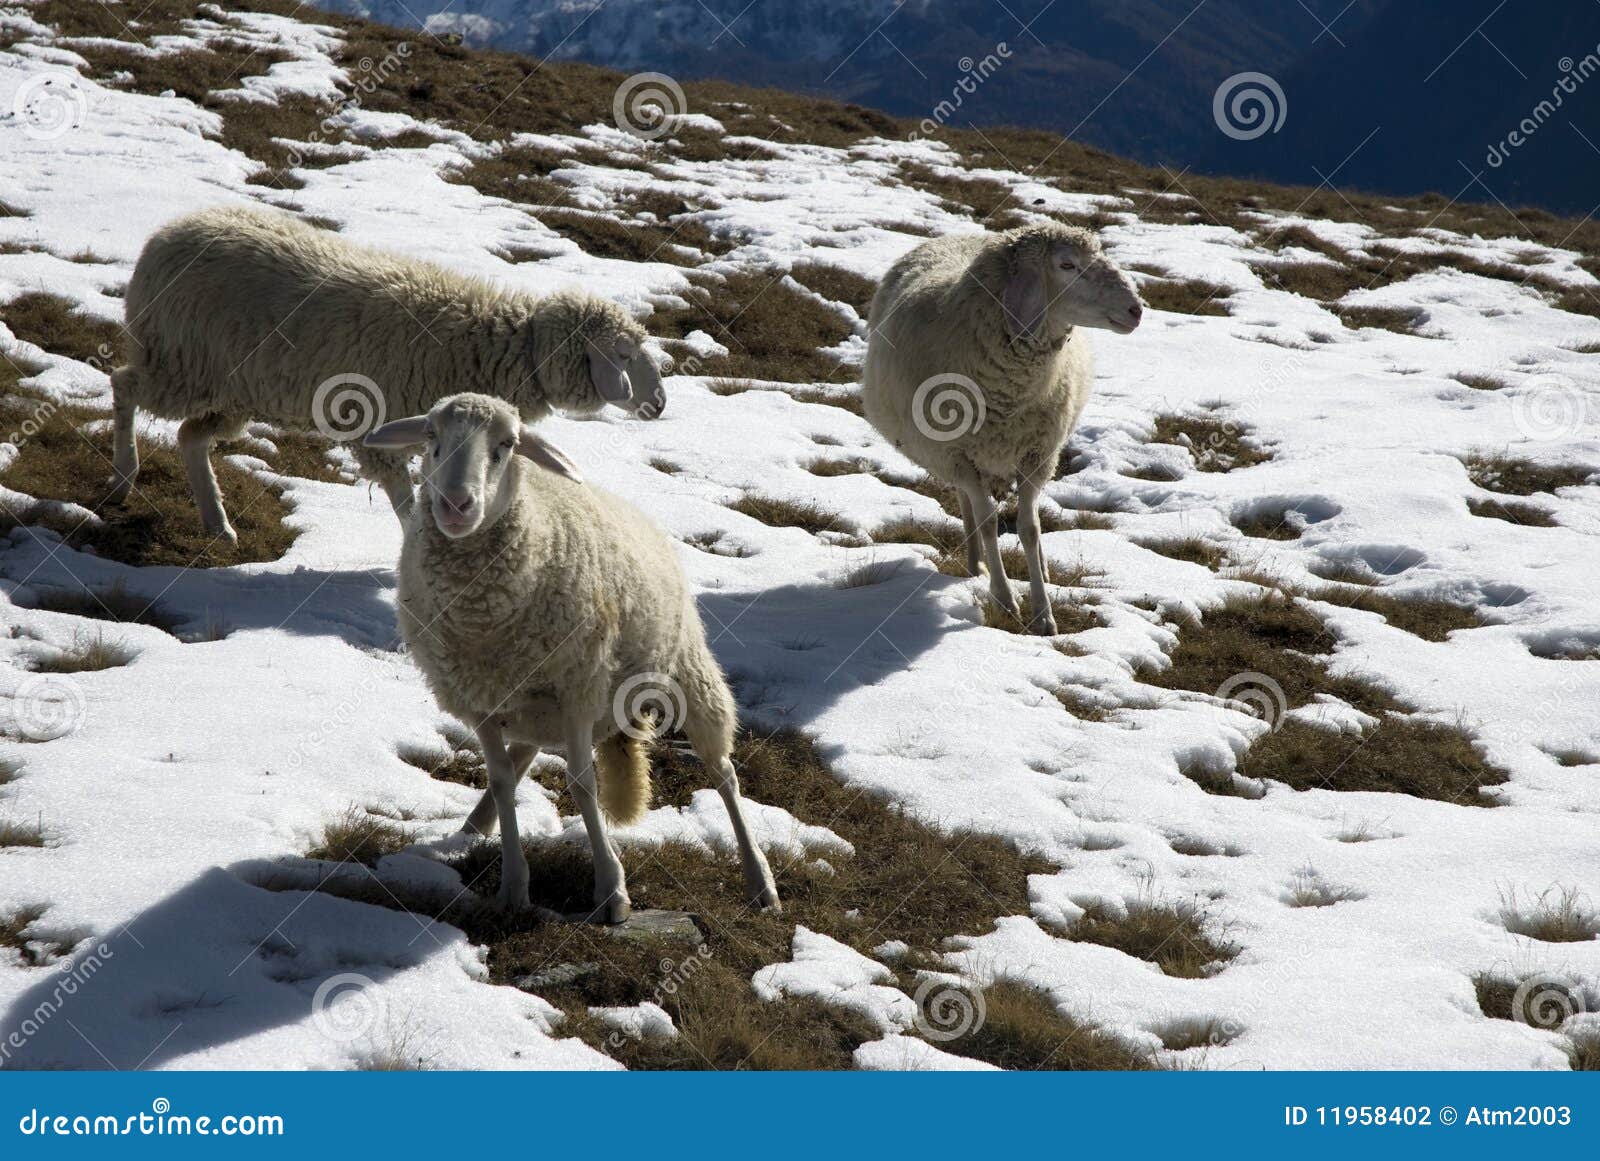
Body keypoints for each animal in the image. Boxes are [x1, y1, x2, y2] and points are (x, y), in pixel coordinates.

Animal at [107, 205, 667, 543]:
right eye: (622, 353)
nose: (660, 404)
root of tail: (166, 234)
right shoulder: (380, 431)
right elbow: (405, 501)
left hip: (232, 389)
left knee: (190, 435)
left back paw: (217, 523)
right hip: (181, 362)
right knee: (124, 385)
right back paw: (122, 478)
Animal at [363, 392, 780, 923]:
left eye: (507, 444)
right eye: (431, 437)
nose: (456, 505)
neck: (484, 615)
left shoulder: (579, 688)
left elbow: (582, 784)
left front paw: (612, 890)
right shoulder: (481, 699)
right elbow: (502, 780)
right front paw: (513, 886)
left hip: (684, 670)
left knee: (724, 774)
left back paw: (759, 879)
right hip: (532, 699)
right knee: (523, 753)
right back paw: (475, 824)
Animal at [861, 222, 1143, 634]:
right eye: (1067, 264)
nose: (1136, 310)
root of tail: (958, 235)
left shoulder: (1037, 455)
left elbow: (1030, 528)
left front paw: (1043, 613)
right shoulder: (958, 456)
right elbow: (989, 521)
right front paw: (1005, 599)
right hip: (952, 459)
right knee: (968, 505)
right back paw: (975, 563)